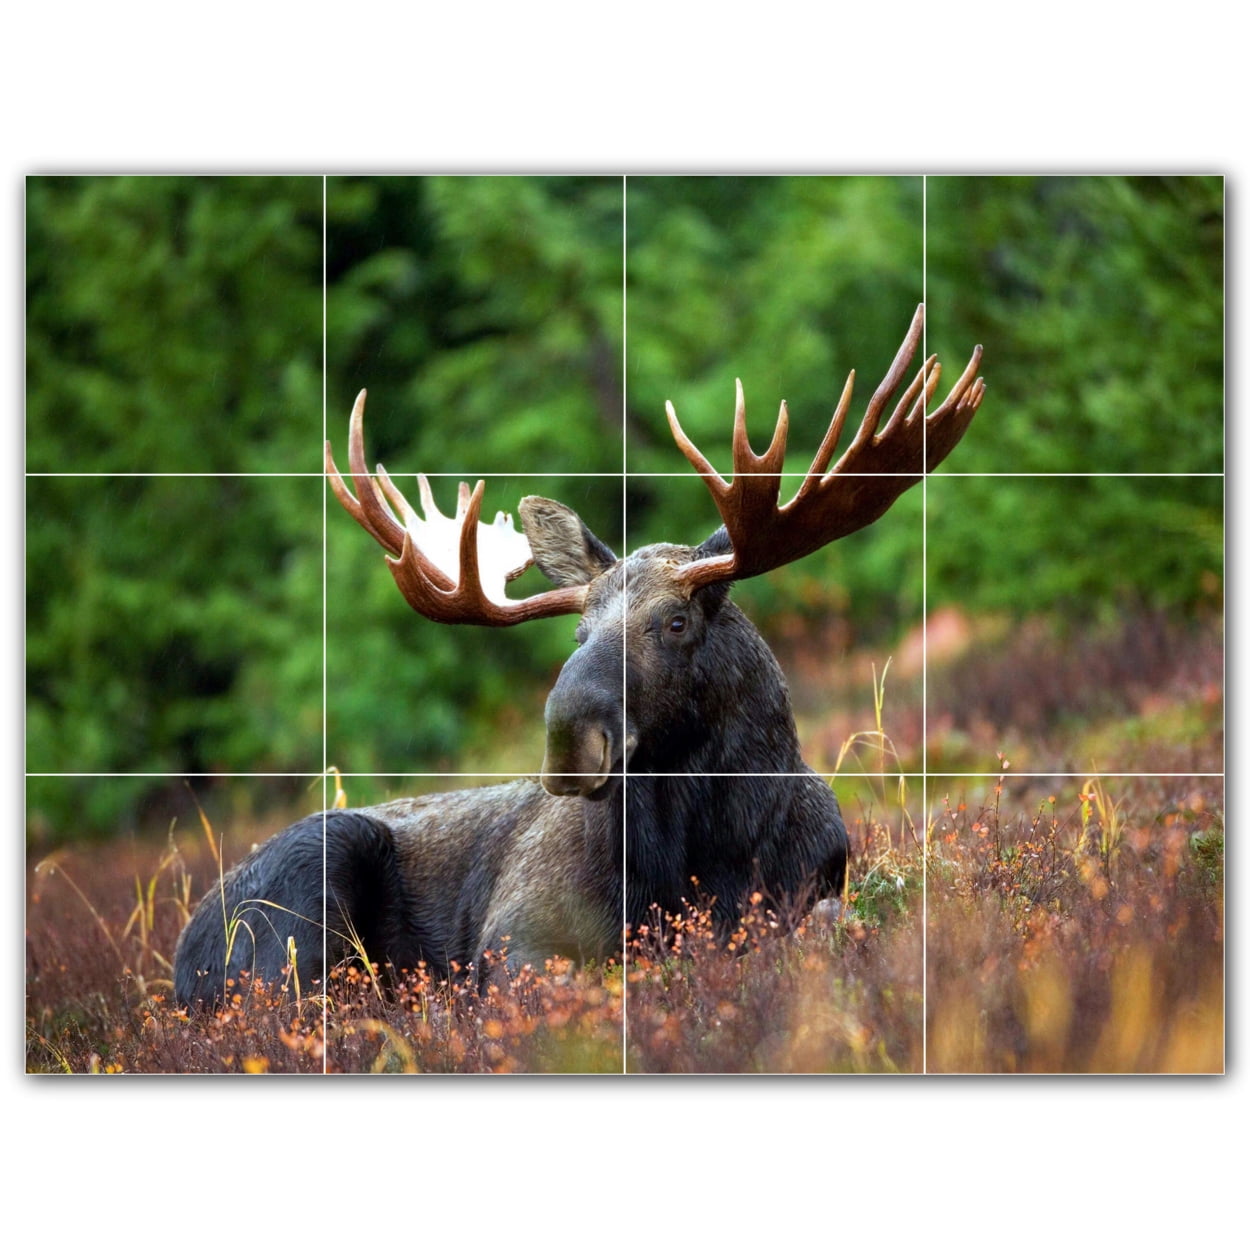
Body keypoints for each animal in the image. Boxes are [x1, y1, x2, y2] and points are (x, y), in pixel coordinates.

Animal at [173, 303, 984, 1007]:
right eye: (578, 633)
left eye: (676, 621)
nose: (569, 739)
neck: (705, 851)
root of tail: (182, 959)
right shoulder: (517, 935)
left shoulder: (814, 889)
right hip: (308, 889)